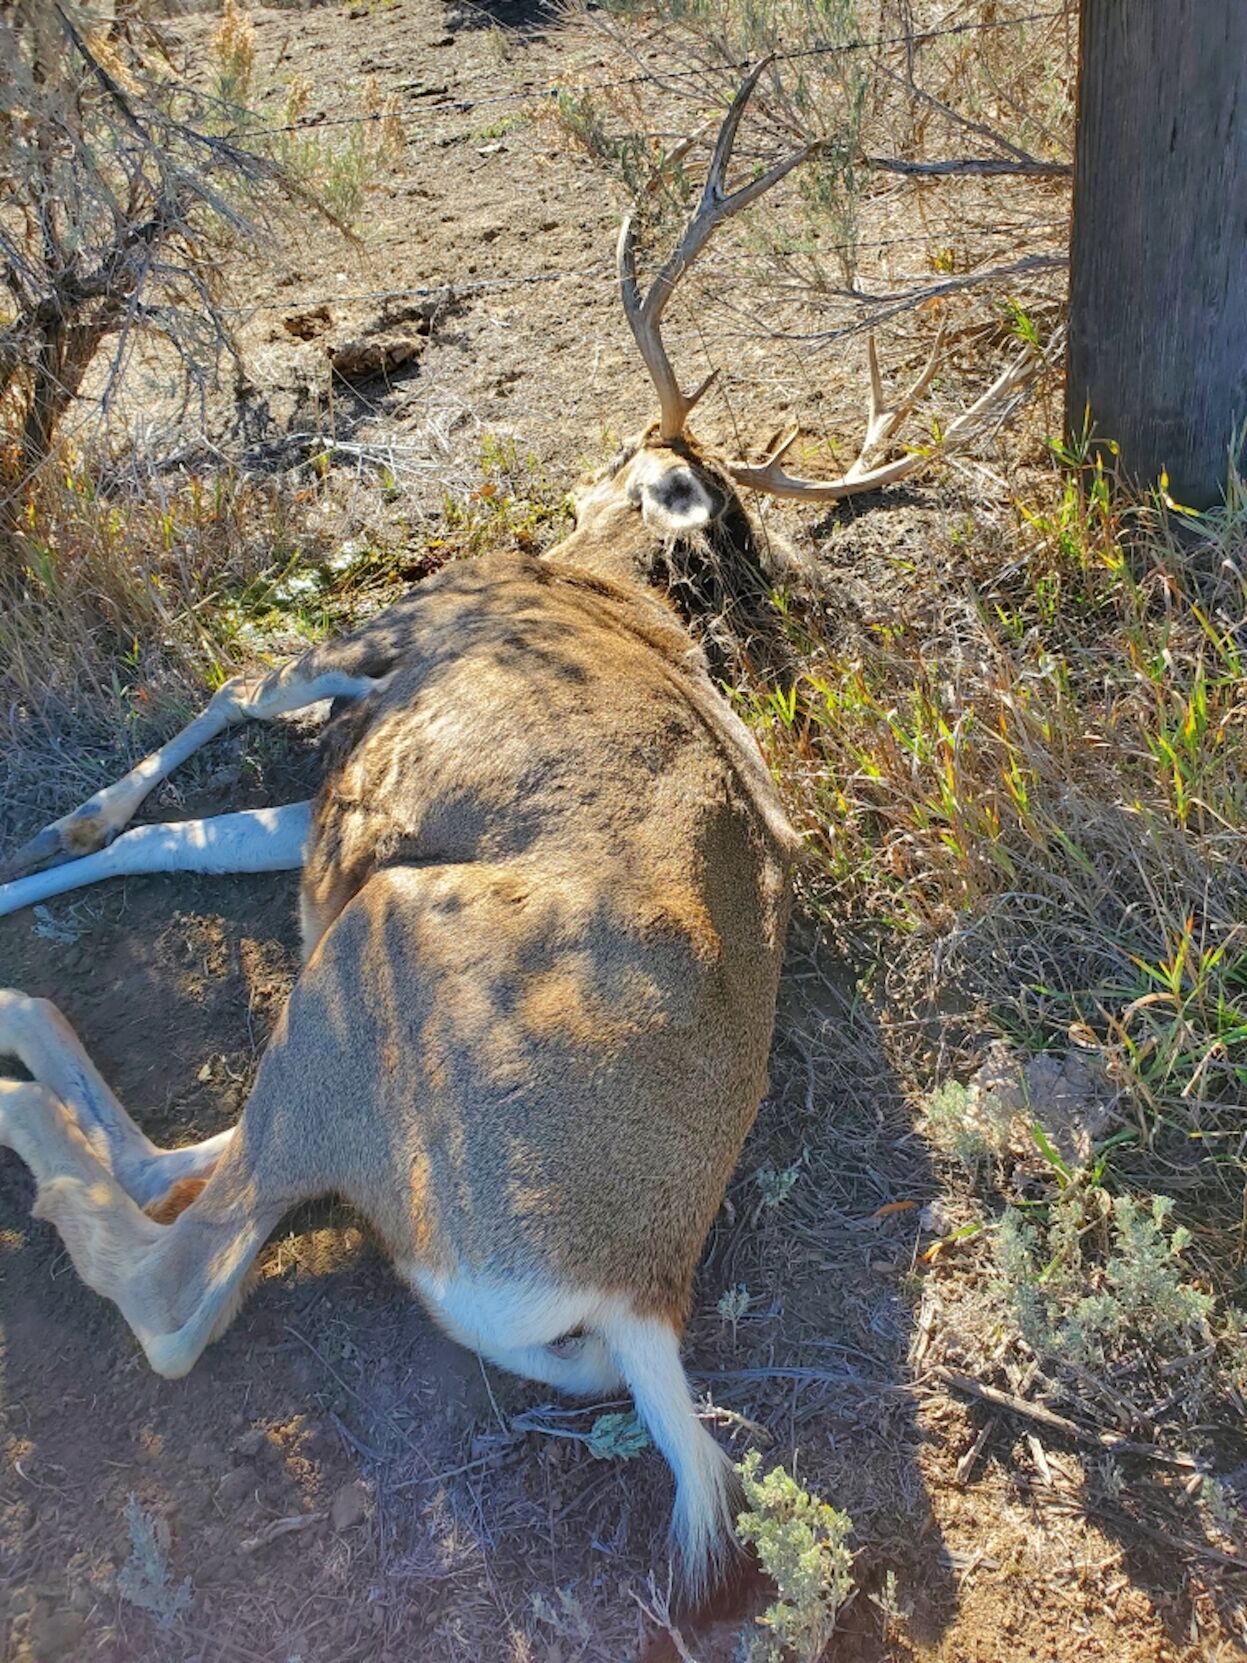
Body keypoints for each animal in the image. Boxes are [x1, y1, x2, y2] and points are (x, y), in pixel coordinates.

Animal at [0, 63, 1032, 1596]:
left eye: (622, 452)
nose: (588, 475)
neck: (603, 590)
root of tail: (634, 1289)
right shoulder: (345, 796)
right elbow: (187, 834)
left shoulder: (387, 644)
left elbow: (216, 716)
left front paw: (34, 846)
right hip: (360, 992)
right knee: (202, 1169)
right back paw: (33, 1044)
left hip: (379, 934)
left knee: (185, 1274)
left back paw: (19, 1086)